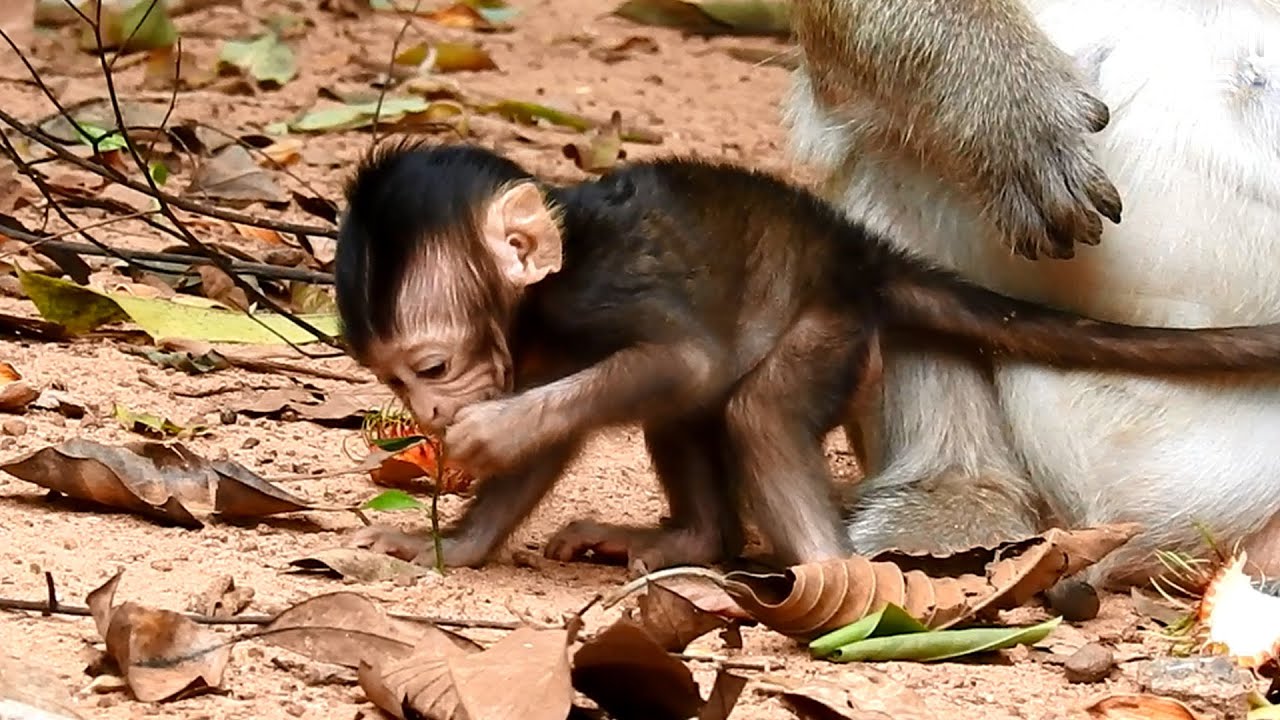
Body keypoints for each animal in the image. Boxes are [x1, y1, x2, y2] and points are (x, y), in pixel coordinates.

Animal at [334, 140, 1280, 575]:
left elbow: (682, 359)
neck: (537, 301)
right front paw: (450, 546)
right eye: (394, 381)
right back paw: (698, 540)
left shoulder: (591, 296)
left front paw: (488, 436)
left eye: (431, 369)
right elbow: (565, 439)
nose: (429, 414)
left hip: (830, 324)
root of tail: (855, 251)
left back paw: (836, 583)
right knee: (696, 412)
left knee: (747, 404)